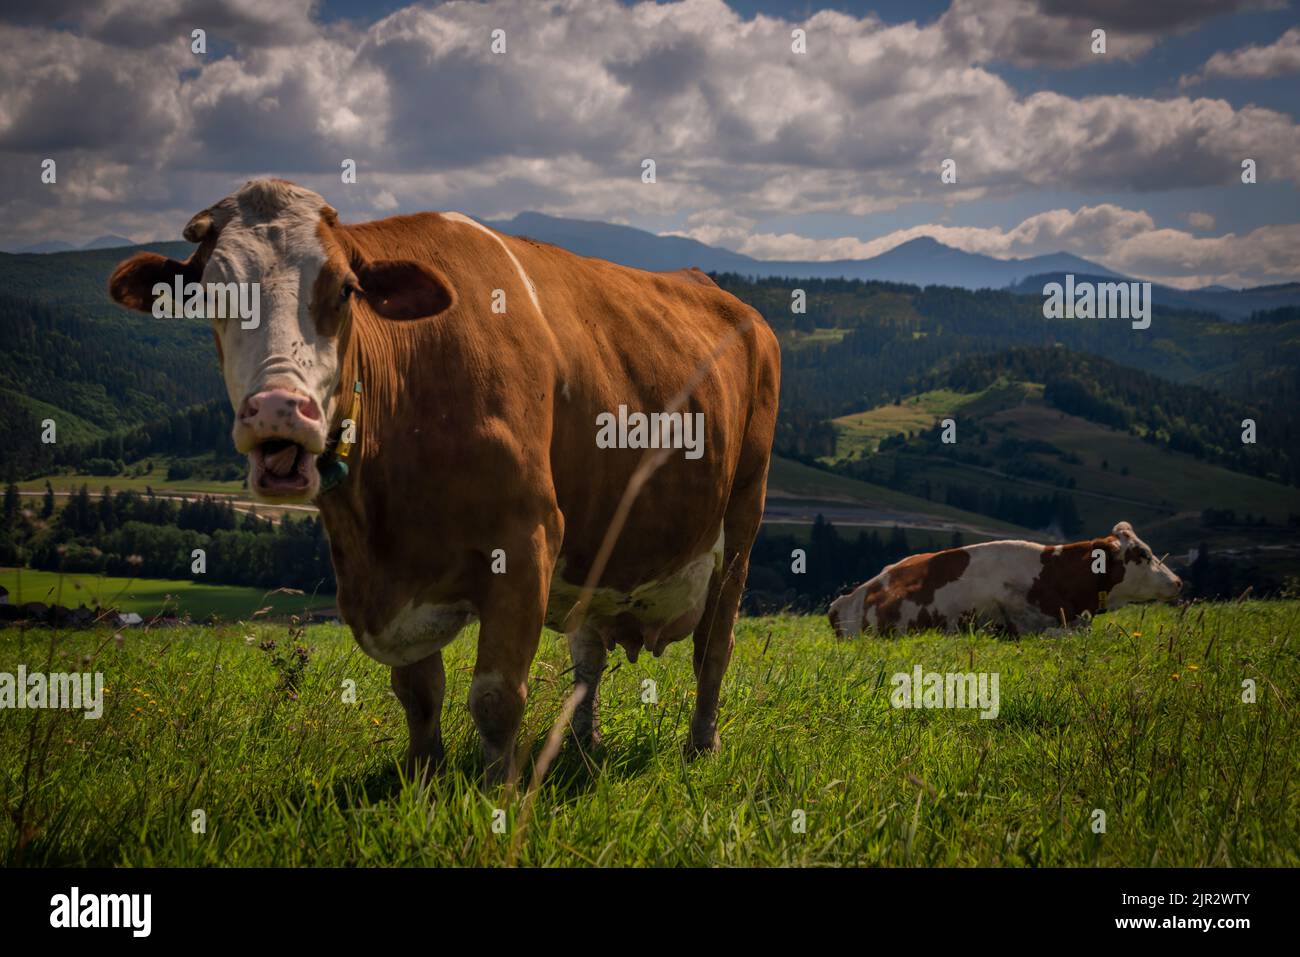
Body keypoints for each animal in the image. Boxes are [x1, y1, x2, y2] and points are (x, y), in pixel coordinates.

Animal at [108, 178, 780, 784]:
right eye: (208, 296)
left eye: (345, 290)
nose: (277, 410)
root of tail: (721, 295)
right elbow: (417, 692)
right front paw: (423, 779)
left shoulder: (528, 537)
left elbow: (495, 696)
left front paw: (497, 795)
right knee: (589, 655)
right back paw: (580, 746)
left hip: (743, 518)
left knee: (713, 648)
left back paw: (701, 749)